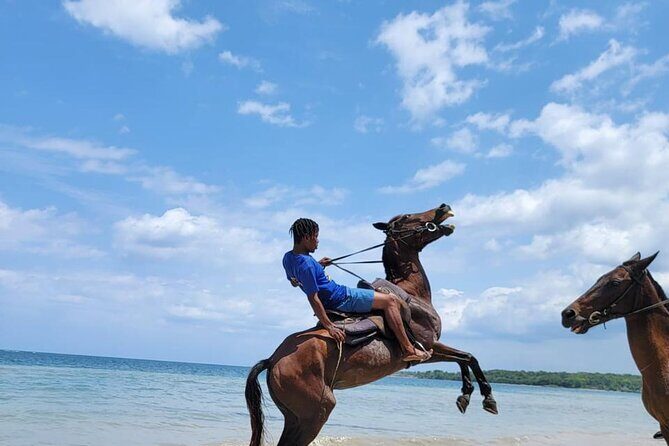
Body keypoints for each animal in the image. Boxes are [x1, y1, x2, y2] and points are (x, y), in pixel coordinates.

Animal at [245, 203, 498, 446]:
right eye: (406, 217)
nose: (443, 207)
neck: (412, 293)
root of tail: (272, 360)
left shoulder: (432, 349)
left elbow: (466, 357)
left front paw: (468, 396)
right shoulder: (428, 346)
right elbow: (466, 357)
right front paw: (486, 398)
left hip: (296, 417)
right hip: (315, 414)